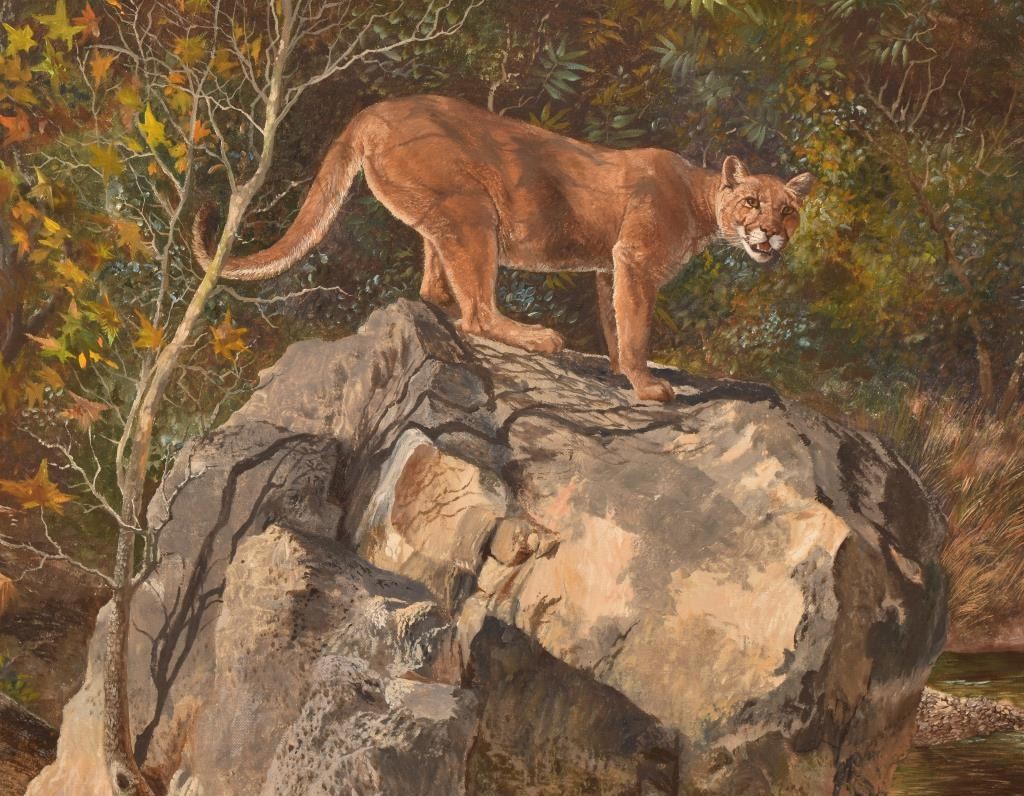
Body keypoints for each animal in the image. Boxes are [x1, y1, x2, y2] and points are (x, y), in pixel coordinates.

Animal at [193, 94, 815, 402]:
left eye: (787, 208)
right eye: (752, 203)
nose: (772, 234)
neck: (700, 199)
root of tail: (369, 112)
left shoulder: (611, 265)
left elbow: (616, 322)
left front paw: (620, 369)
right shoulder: (633, 259)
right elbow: (635, 326)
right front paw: (647, 385)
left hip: (445, 214)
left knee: (434, 287)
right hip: (473, 211)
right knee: (475, 315)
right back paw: (537, 337)